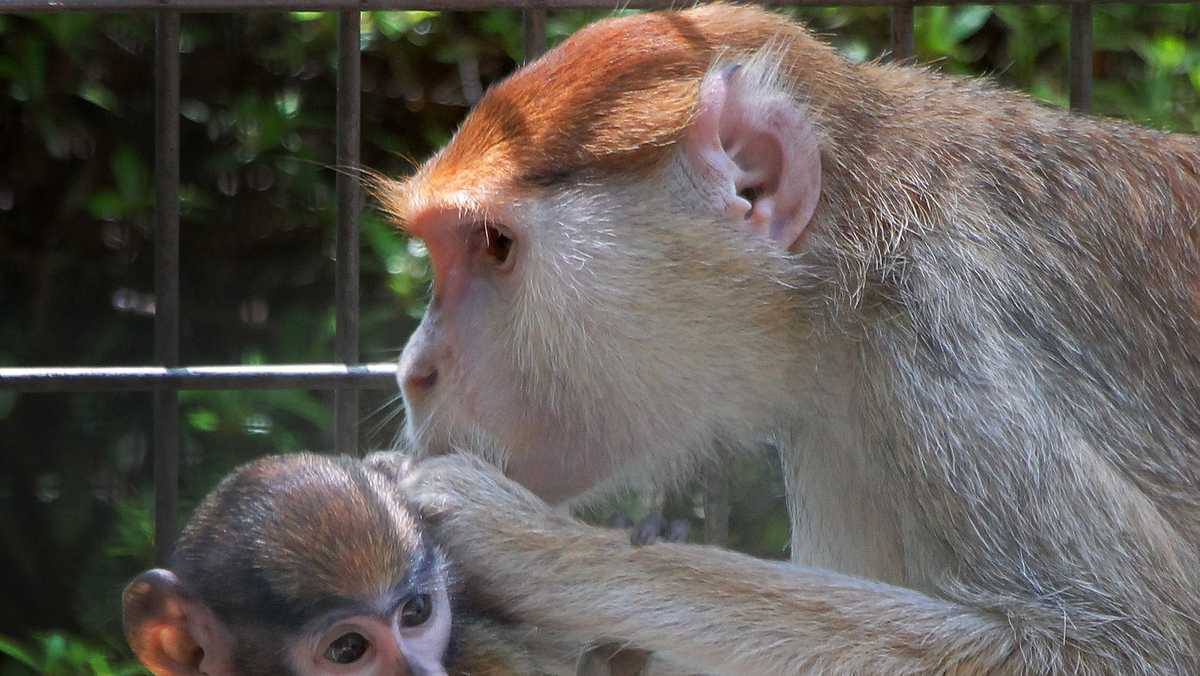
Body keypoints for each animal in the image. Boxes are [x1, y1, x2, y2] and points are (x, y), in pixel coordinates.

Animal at [371, 2, 1200, 673]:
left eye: (496, 245)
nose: (415, 371)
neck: (849, 258)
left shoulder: (945, 334)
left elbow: (1119, 646)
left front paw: (517, 538)